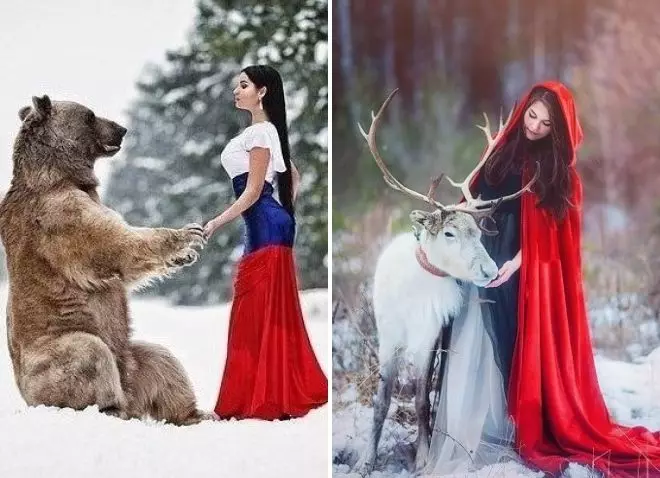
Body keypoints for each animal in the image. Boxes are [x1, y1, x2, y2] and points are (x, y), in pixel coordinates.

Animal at [0, 94, 209, 426]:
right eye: (90, 115)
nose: (121, 130)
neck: (61, 176)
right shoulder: (57, 215)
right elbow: (111, 243)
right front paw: (188, 234)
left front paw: (186, 256)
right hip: (50, 358)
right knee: (90, 353)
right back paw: (111, 408)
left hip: (130, 357)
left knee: (163, 361)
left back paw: (195, 414)